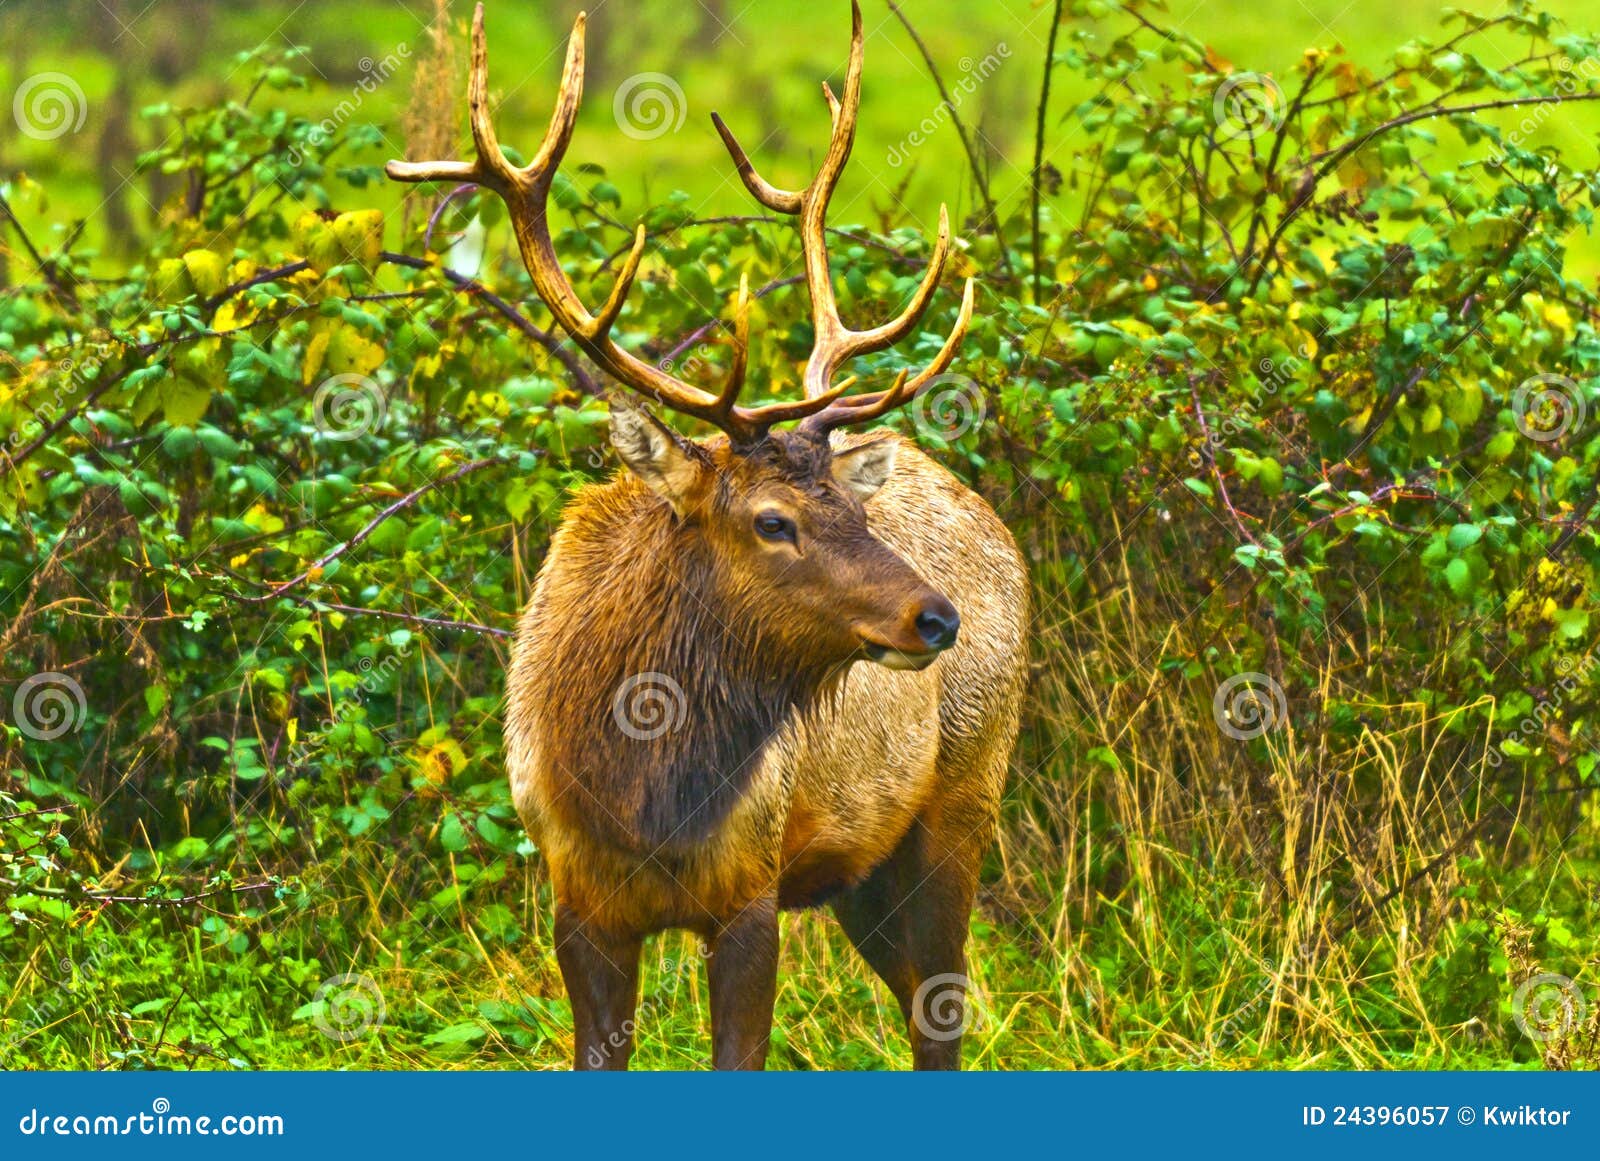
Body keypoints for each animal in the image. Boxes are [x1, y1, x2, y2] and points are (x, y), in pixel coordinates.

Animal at [388, 1, 1028, 1070]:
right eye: (773, 521)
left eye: (856, 514)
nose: (937, 617)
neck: (638, 791)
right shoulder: (577, 900)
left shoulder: (750, 889)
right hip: (864, 874)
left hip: (962, 798)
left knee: (943, 1012)